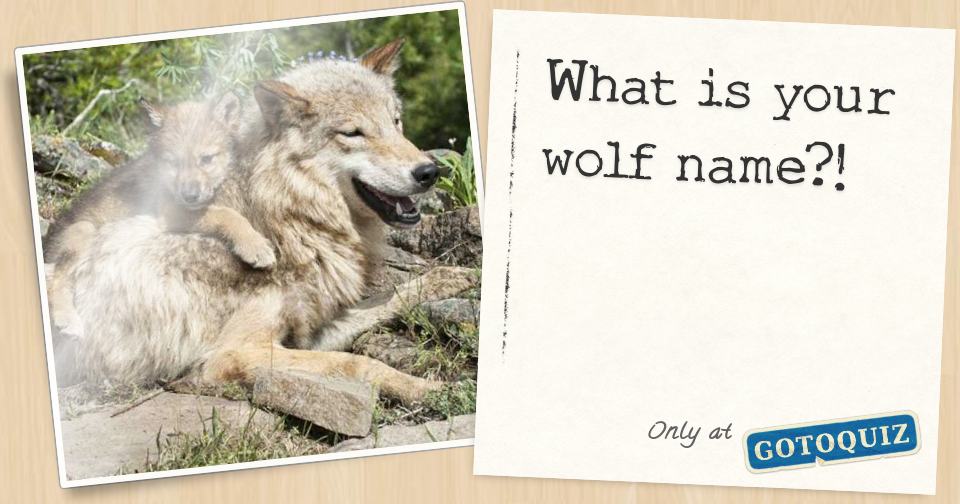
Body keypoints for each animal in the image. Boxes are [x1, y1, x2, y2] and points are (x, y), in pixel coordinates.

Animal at [45, 95, 276, 343]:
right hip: (84, 230)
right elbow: (226, 214)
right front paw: (255, 245)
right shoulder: (171, 211)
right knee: (56, 279)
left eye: (206, 159)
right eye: (173, 162)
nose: (190, 195)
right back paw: (68, 320)